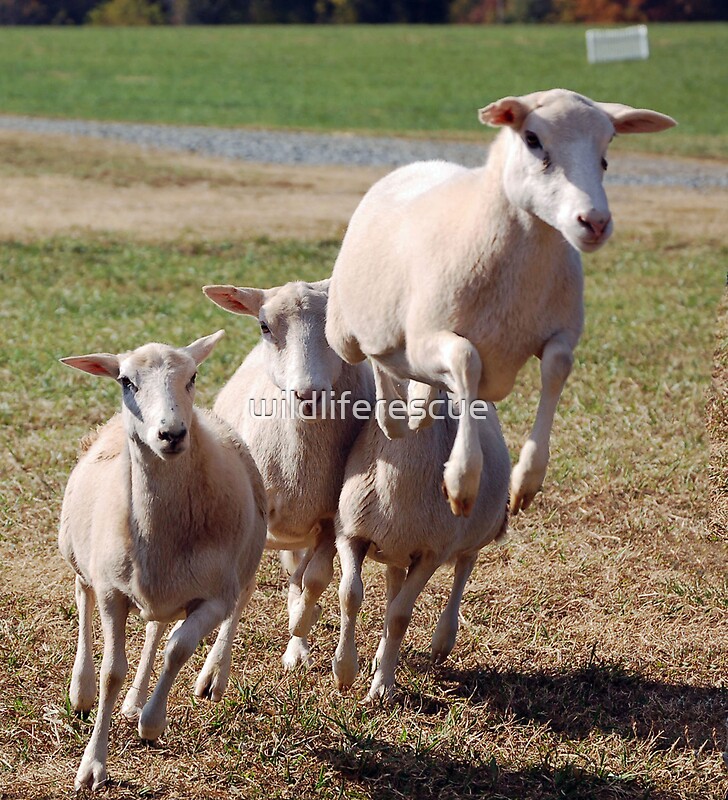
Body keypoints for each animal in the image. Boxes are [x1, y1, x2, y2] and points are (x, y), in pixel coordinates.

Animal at [58, 331, 267, 791]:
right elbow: (111, 672)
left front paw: (152, 722)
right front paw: (92, 765)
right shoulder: (112, 592)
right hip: (78, 554)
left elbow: (177, 648)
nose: (171, 434)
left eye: (193, 377)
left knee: (163, 625)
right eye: (125, 381)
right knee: (82, 597)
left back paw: (144, 699)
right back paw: (81, 690)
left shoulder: (214, 597)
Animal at [201, 279, 374, 669]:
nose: (308, 394)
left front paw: (300, 623)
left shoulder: (330, 519)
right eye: (264, 326)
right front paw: (215, 668)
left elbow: (316, 579)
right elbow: (243, 587)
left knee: (300, 574)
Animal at [325, 88, 676, 518]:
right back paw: (392, 416)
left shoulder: (559, 330)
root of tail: (418, 165)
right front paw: (462, 481)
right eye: (532, 139)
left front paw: (527, 481)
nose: (594, 222)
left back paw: (416, 409)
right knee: (374, 358)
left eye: (607, 146)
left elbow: (557, 365)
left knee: (412, 385)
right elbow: (467, 360)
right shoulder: (429, 338)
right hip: (348, 331)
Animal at [332, 390, 510, 702]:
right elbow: (350, 594)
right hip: (395, 549)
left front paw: (382, 690)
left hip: (475, 531)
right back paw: (381, 656)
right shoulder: (349, 534)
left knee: (464, 568)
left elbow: (400, 617)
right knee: (393, 584)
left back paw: (442, 642)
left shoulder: (431, 554)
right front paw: (344, 671)